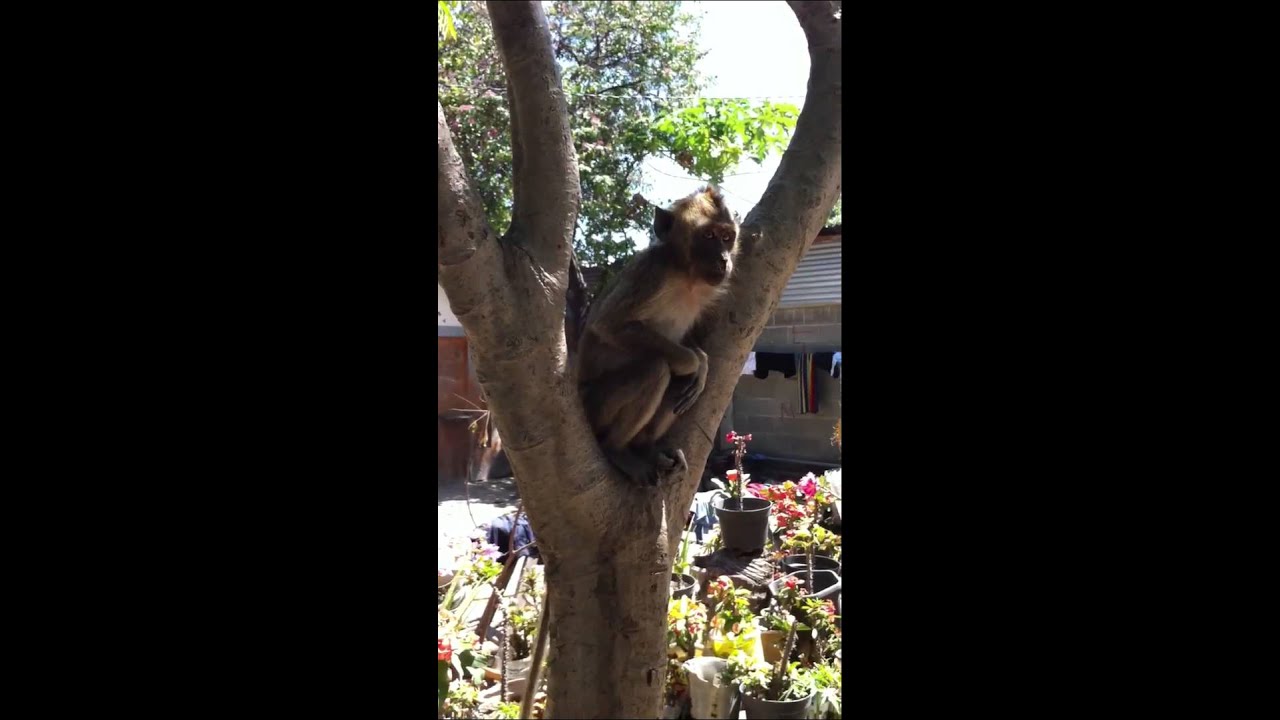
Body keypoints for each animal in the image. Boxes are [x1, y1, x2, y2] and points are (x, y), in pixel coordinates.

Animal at [575, 186, 740, 485]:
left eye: (726, 237)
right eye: (708, 236)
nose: (724, 259)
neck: (686, 277)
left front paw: (702, 363)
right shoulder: (652, 273)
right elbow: (609, 325)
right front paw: (694, 362)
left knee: (676, 383)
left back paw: (645, 447)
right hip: (593, 407)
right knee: (655, 370)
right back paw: (617, 450)